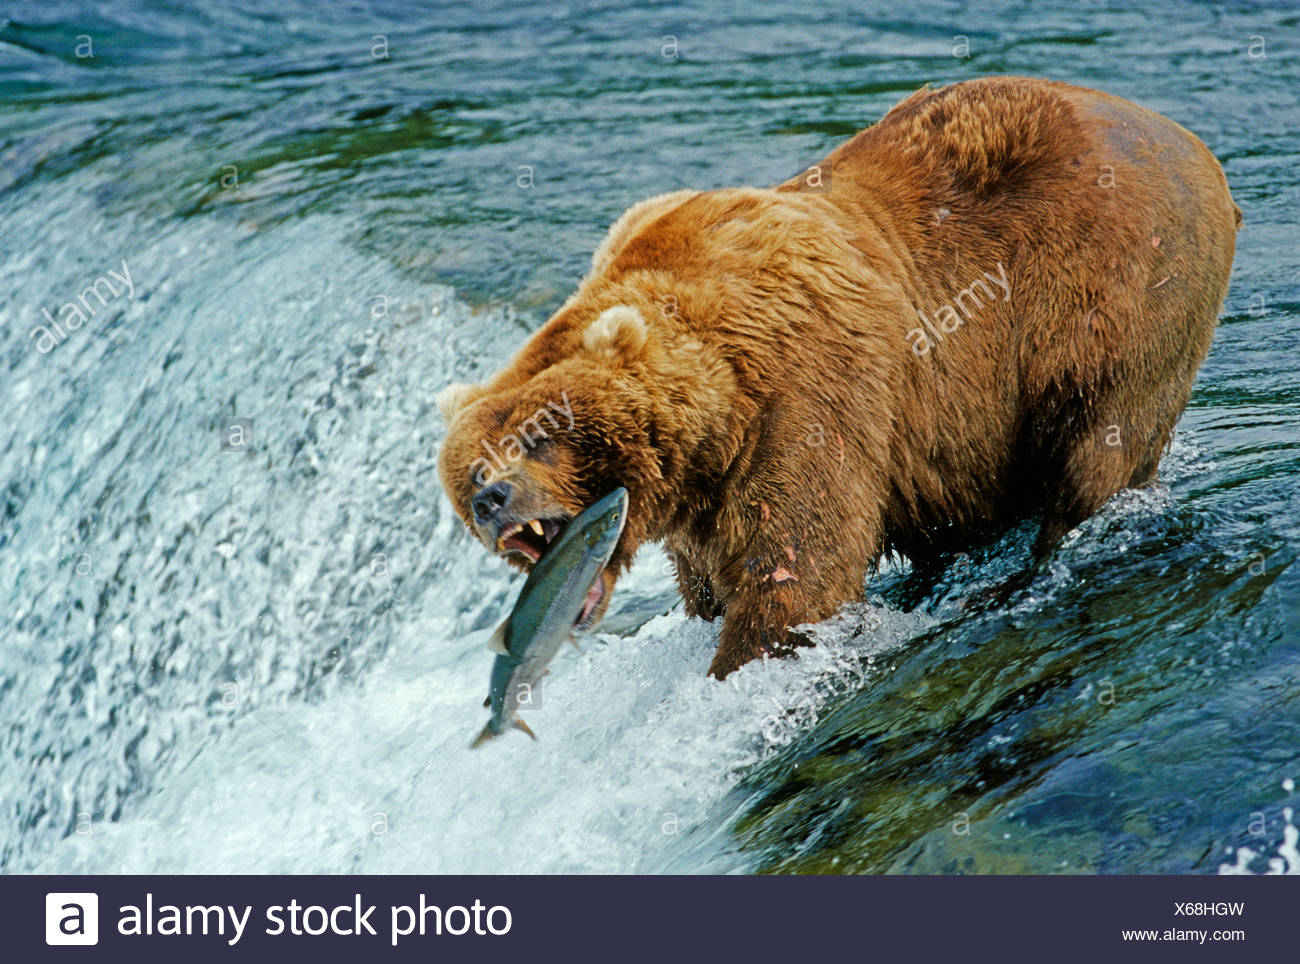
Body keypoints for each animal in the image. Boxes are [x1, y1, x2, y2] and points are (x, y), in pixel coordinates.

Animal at [436, 76, 1239, 679]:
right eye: (470, 471)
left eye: (541, 434)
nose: (492, 500)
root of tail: (1192, 143)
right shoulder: (705, 489)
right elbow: (709, 584)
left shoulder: (805, 386)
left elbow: (797, 567)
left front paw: (740, 664)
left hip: (1112, 290)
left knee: (1093, 450)